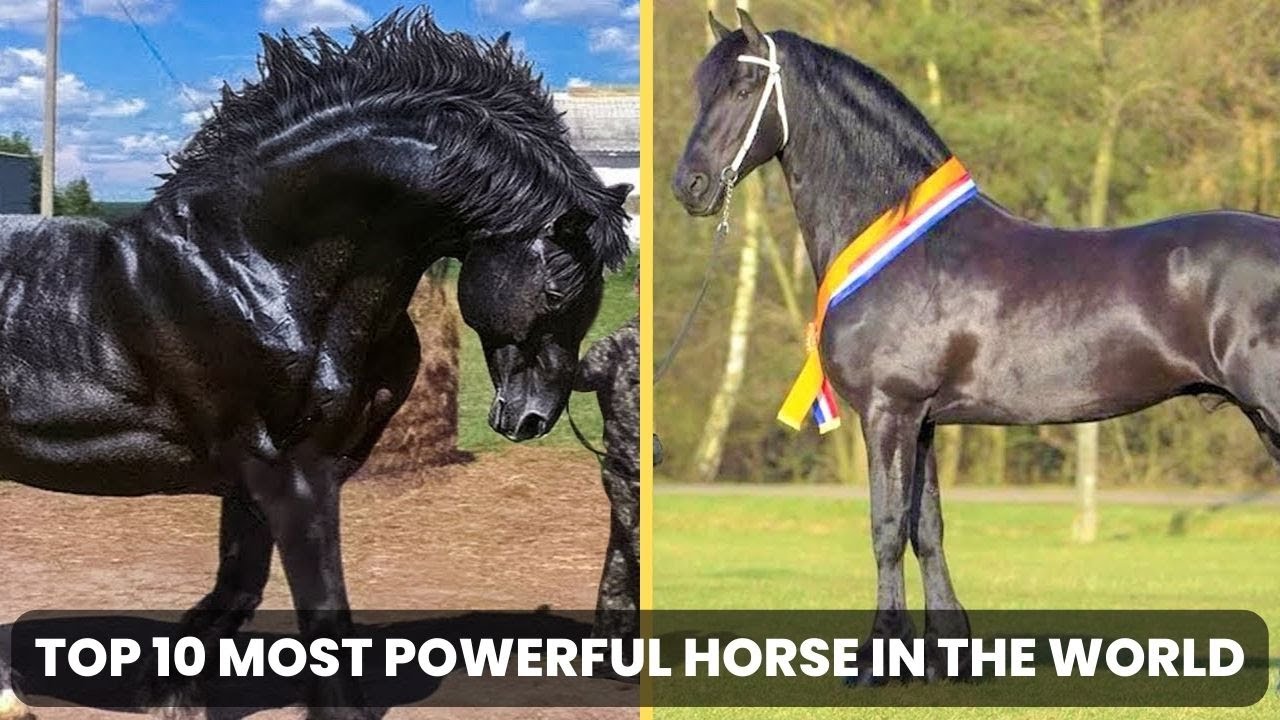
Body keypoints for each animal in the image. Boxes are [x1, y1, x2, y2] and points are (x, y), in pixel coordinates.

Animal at [0, 9, 629, 717]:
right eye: (556, 291)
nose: (533, 417)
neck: (256, 271)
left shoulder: (254, 480)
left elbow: (240, 588)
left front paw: (166, 688)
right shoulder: (290, 472)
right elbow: (320, 606)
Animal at [674, 9, 1280, 682]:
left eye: (744, 87)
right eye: (703, 88)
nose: (690, 186)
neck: (902, 241)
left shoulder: (889, 411)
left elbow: (887, 527)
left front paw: (876, 660)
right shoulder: (923, 420)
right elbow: (927, 528)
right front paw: (947, 655)